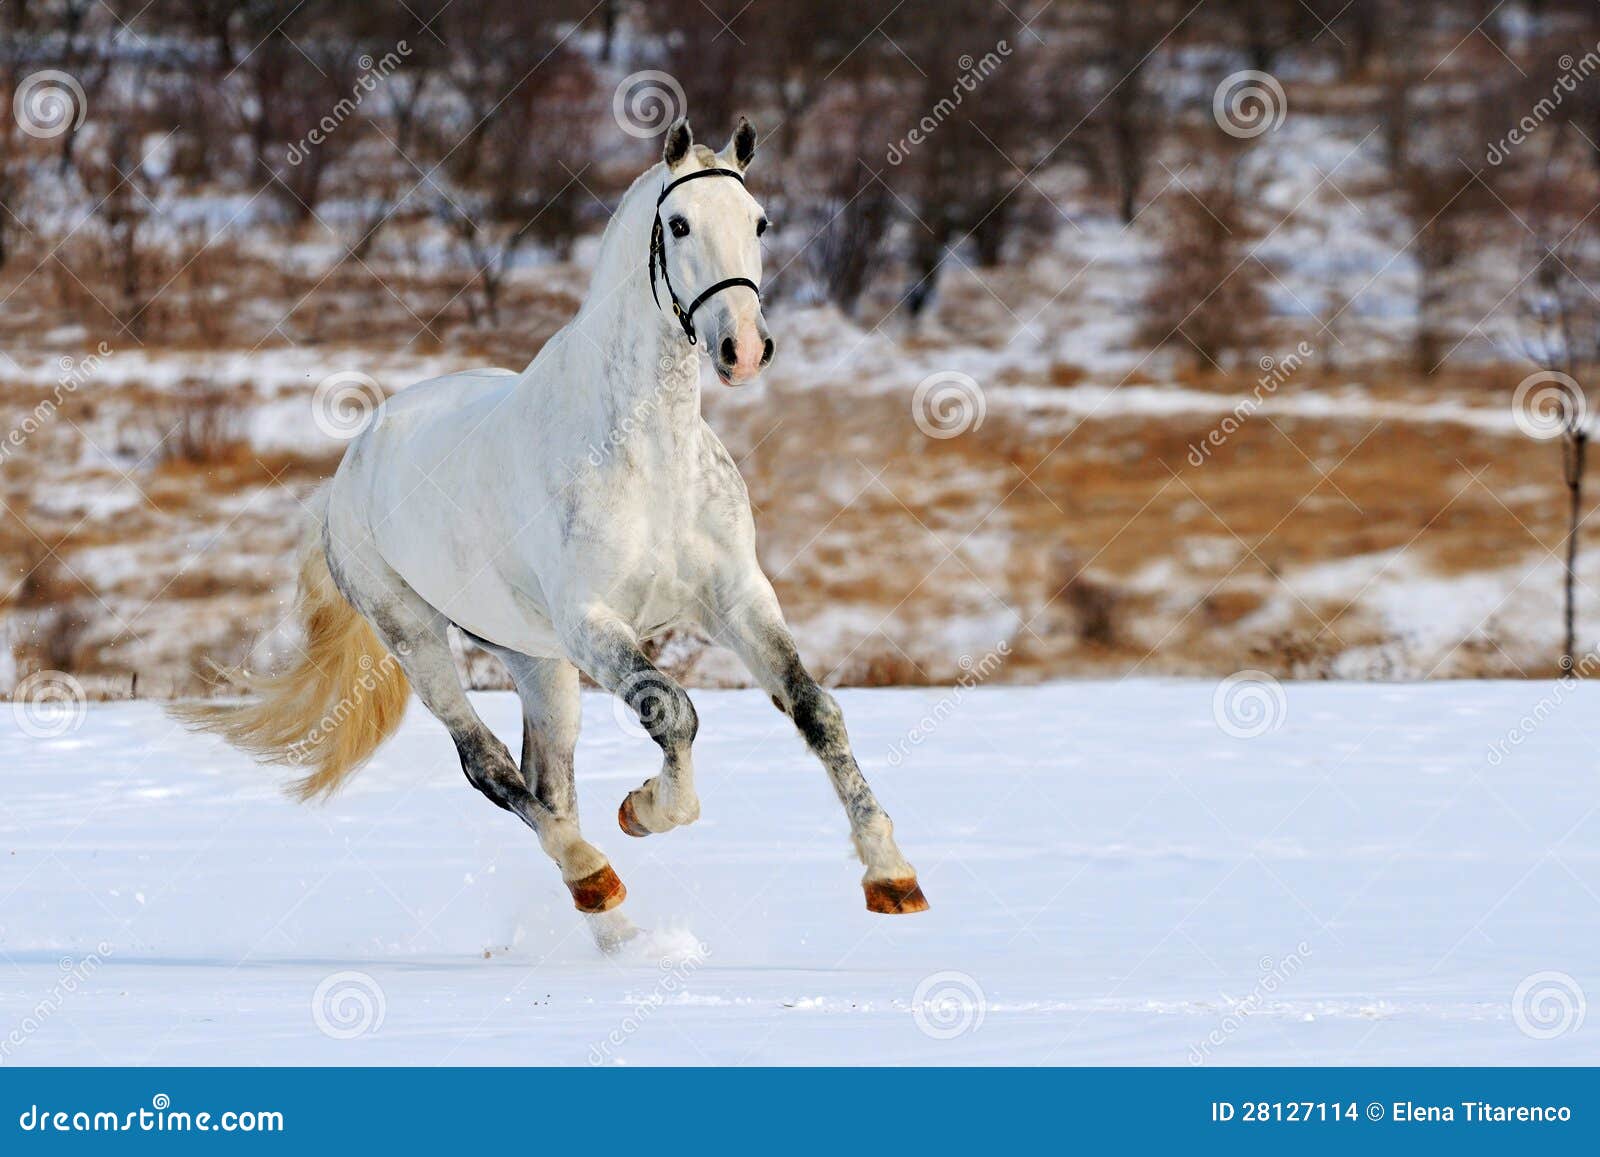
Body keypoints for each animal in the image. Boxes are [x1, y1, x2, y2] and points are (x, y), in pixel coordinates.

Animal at [178, 116, 928, 948]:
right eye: (678, 223)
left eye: (759, 222)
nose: (745, 348)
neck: (648, 456)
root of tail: (345, 475)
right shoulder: (593, 622)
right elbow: (673, 711)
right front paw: (647, 810)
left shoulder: (735, 599)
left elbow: (815, 709)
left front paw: (892, 876)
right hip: (419, 638)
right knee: (492, 767)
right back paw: (594, 874)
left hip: (537, 660)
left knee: (550, 780)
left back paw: (618, 933)